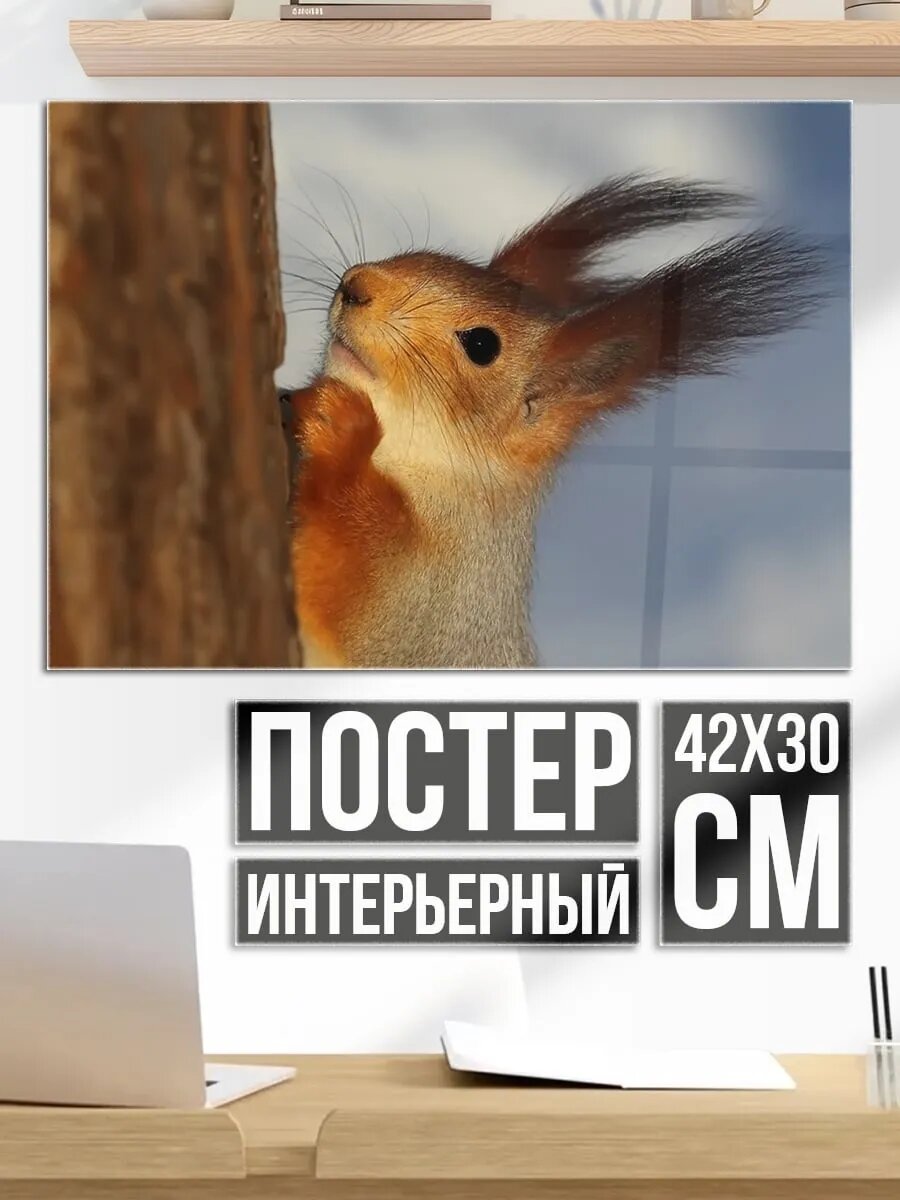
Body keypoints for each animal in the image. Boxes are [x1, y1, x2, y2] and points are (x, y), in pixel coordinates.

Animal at [285, 176, 825, 669]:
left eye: (481, 344)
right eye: (418, 254)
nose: (355, 286)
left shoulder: (430, 605)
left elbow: (345, 595)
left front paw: (340, 429)